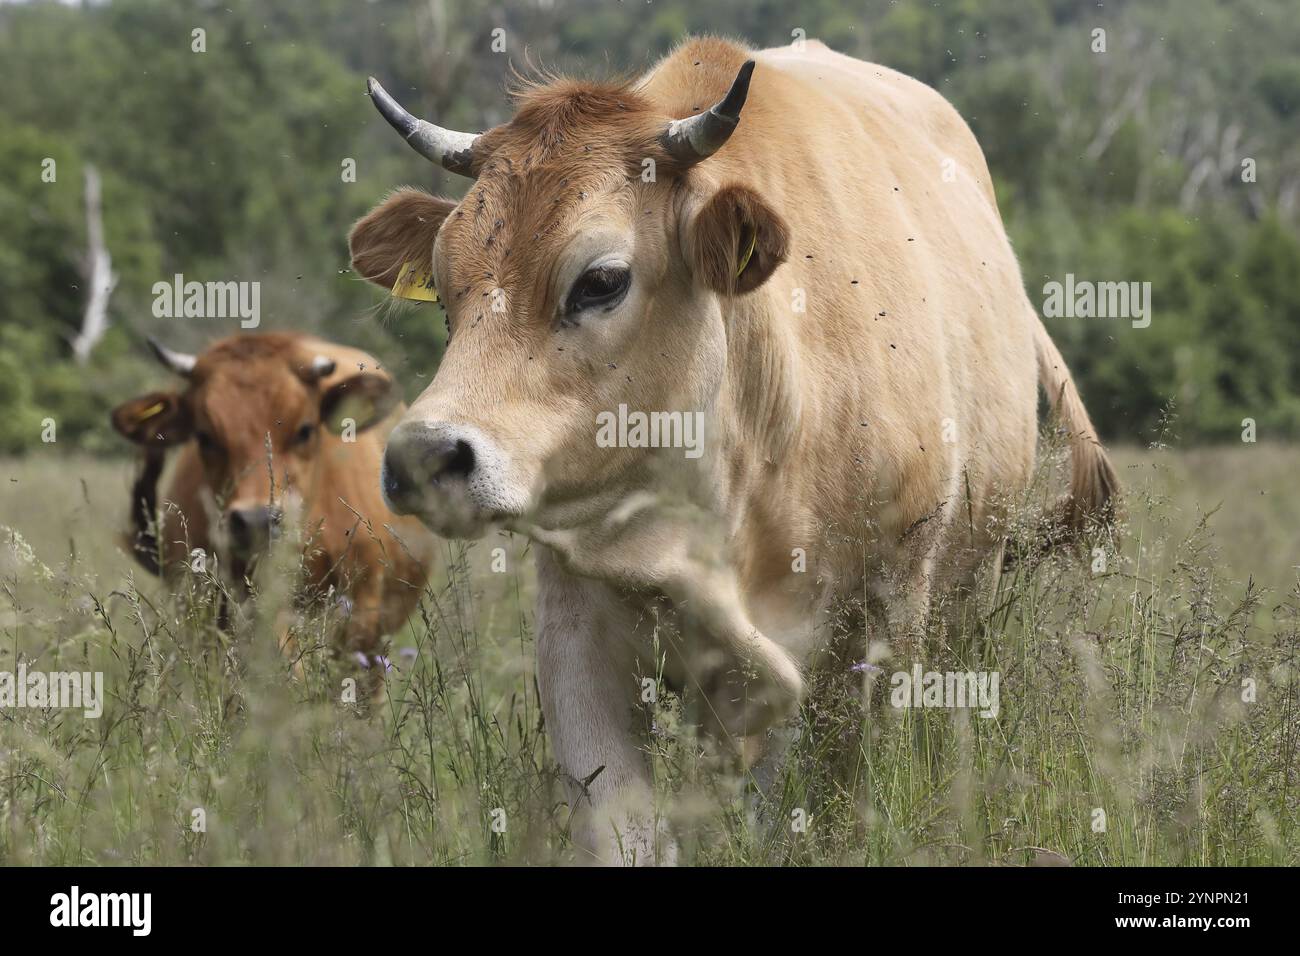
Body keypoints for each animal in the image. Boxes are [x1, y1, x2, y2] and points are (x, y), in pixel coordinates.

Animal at [349, 36, 1118, 864]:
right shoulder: (577, 633)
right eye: (447, 288)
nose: (424, 456)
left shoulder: (872, 627)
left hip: (966, 595)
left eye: (600, 281)